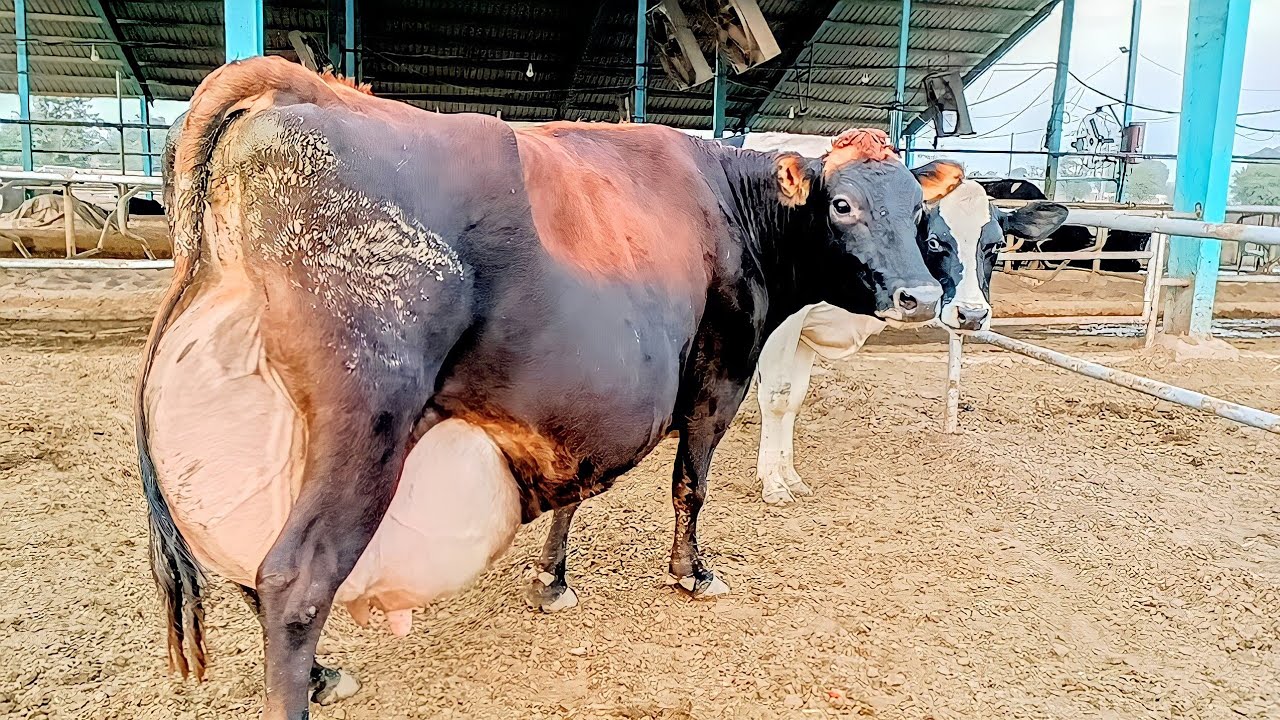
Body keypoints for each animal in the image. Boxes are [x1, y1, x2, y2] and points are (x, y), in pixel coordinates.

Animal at [137, 56, 944, 719]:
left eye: (918, 209)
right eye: (842, 204)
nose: (921, 296)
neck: (732, 203)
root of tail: (298, 88)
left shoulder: (579, 405)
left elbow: (575, 490)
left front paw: (550, 579)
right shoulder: (720, 374)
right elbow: (690, 483)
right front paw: (692, 572)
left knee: (252, 565)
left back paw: (323, 676)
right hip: (365, 420)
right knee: (295, 580)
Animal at [754, 177, 1069, 504]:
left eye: (995, 245)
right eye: (934, 242)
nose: (971, 314)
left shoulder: (806, 332)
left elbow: (794, 398)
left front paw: (791, 476)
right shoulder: (783, 324)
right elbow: (776, 397)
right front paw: (773, 483)